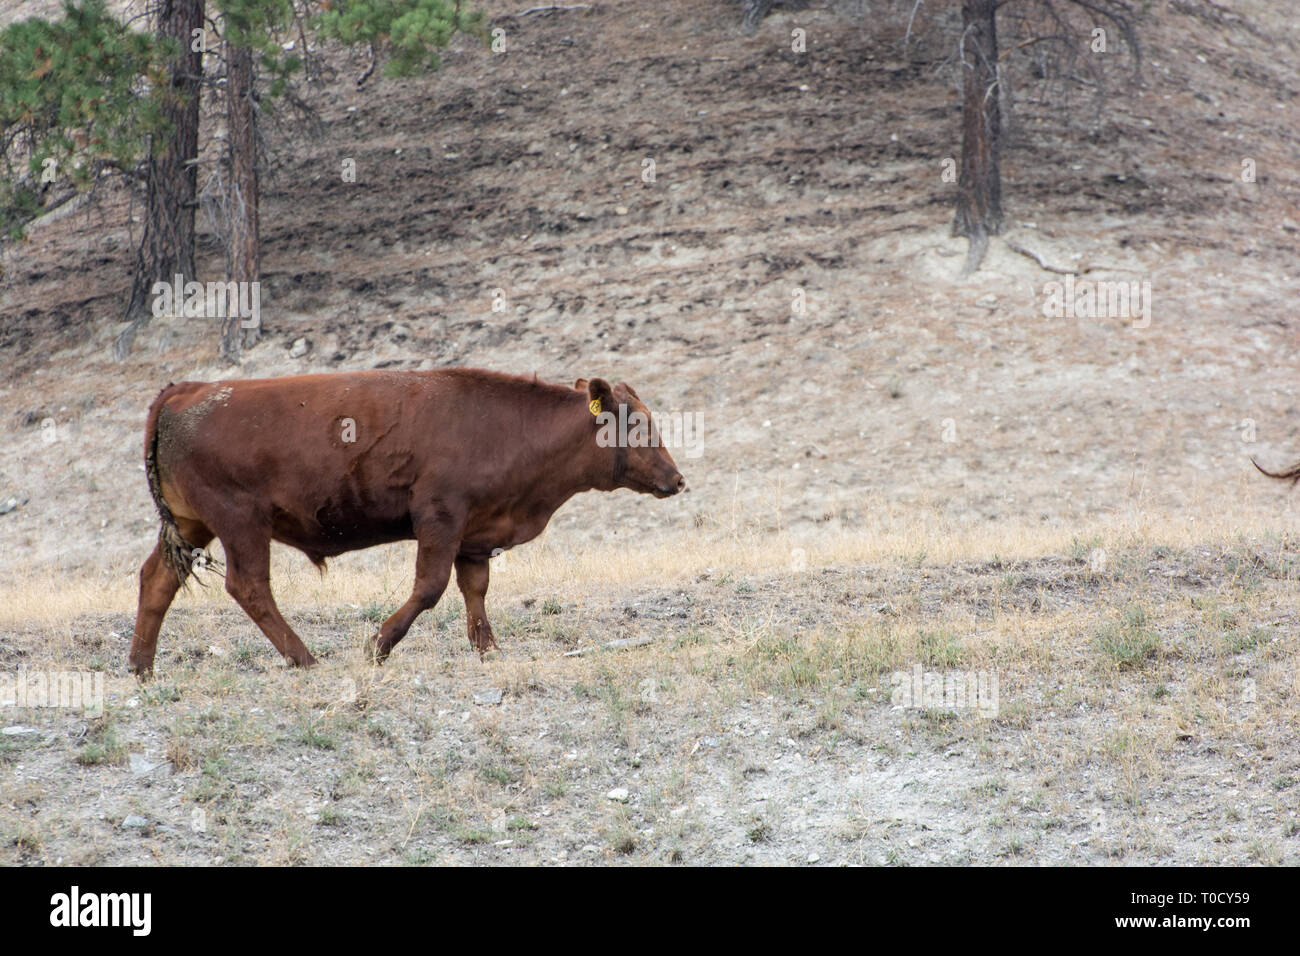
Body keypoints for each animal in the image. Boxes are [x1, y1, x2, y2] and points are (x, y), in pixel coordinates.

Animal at [127, 369, 686, 677]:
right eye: (636, 423)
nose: (676, 479)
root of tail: (183, 392)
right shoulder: (439, 518)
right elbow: (430, 586)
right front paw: (377, 646)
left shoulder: (474, 535)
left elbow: (475, 589)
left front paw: (489, 649)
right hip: (242, 524)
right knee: (249, 586)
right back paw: (306, 659)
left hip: (193, 524)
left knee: (158, 579)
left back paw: (142, 669)